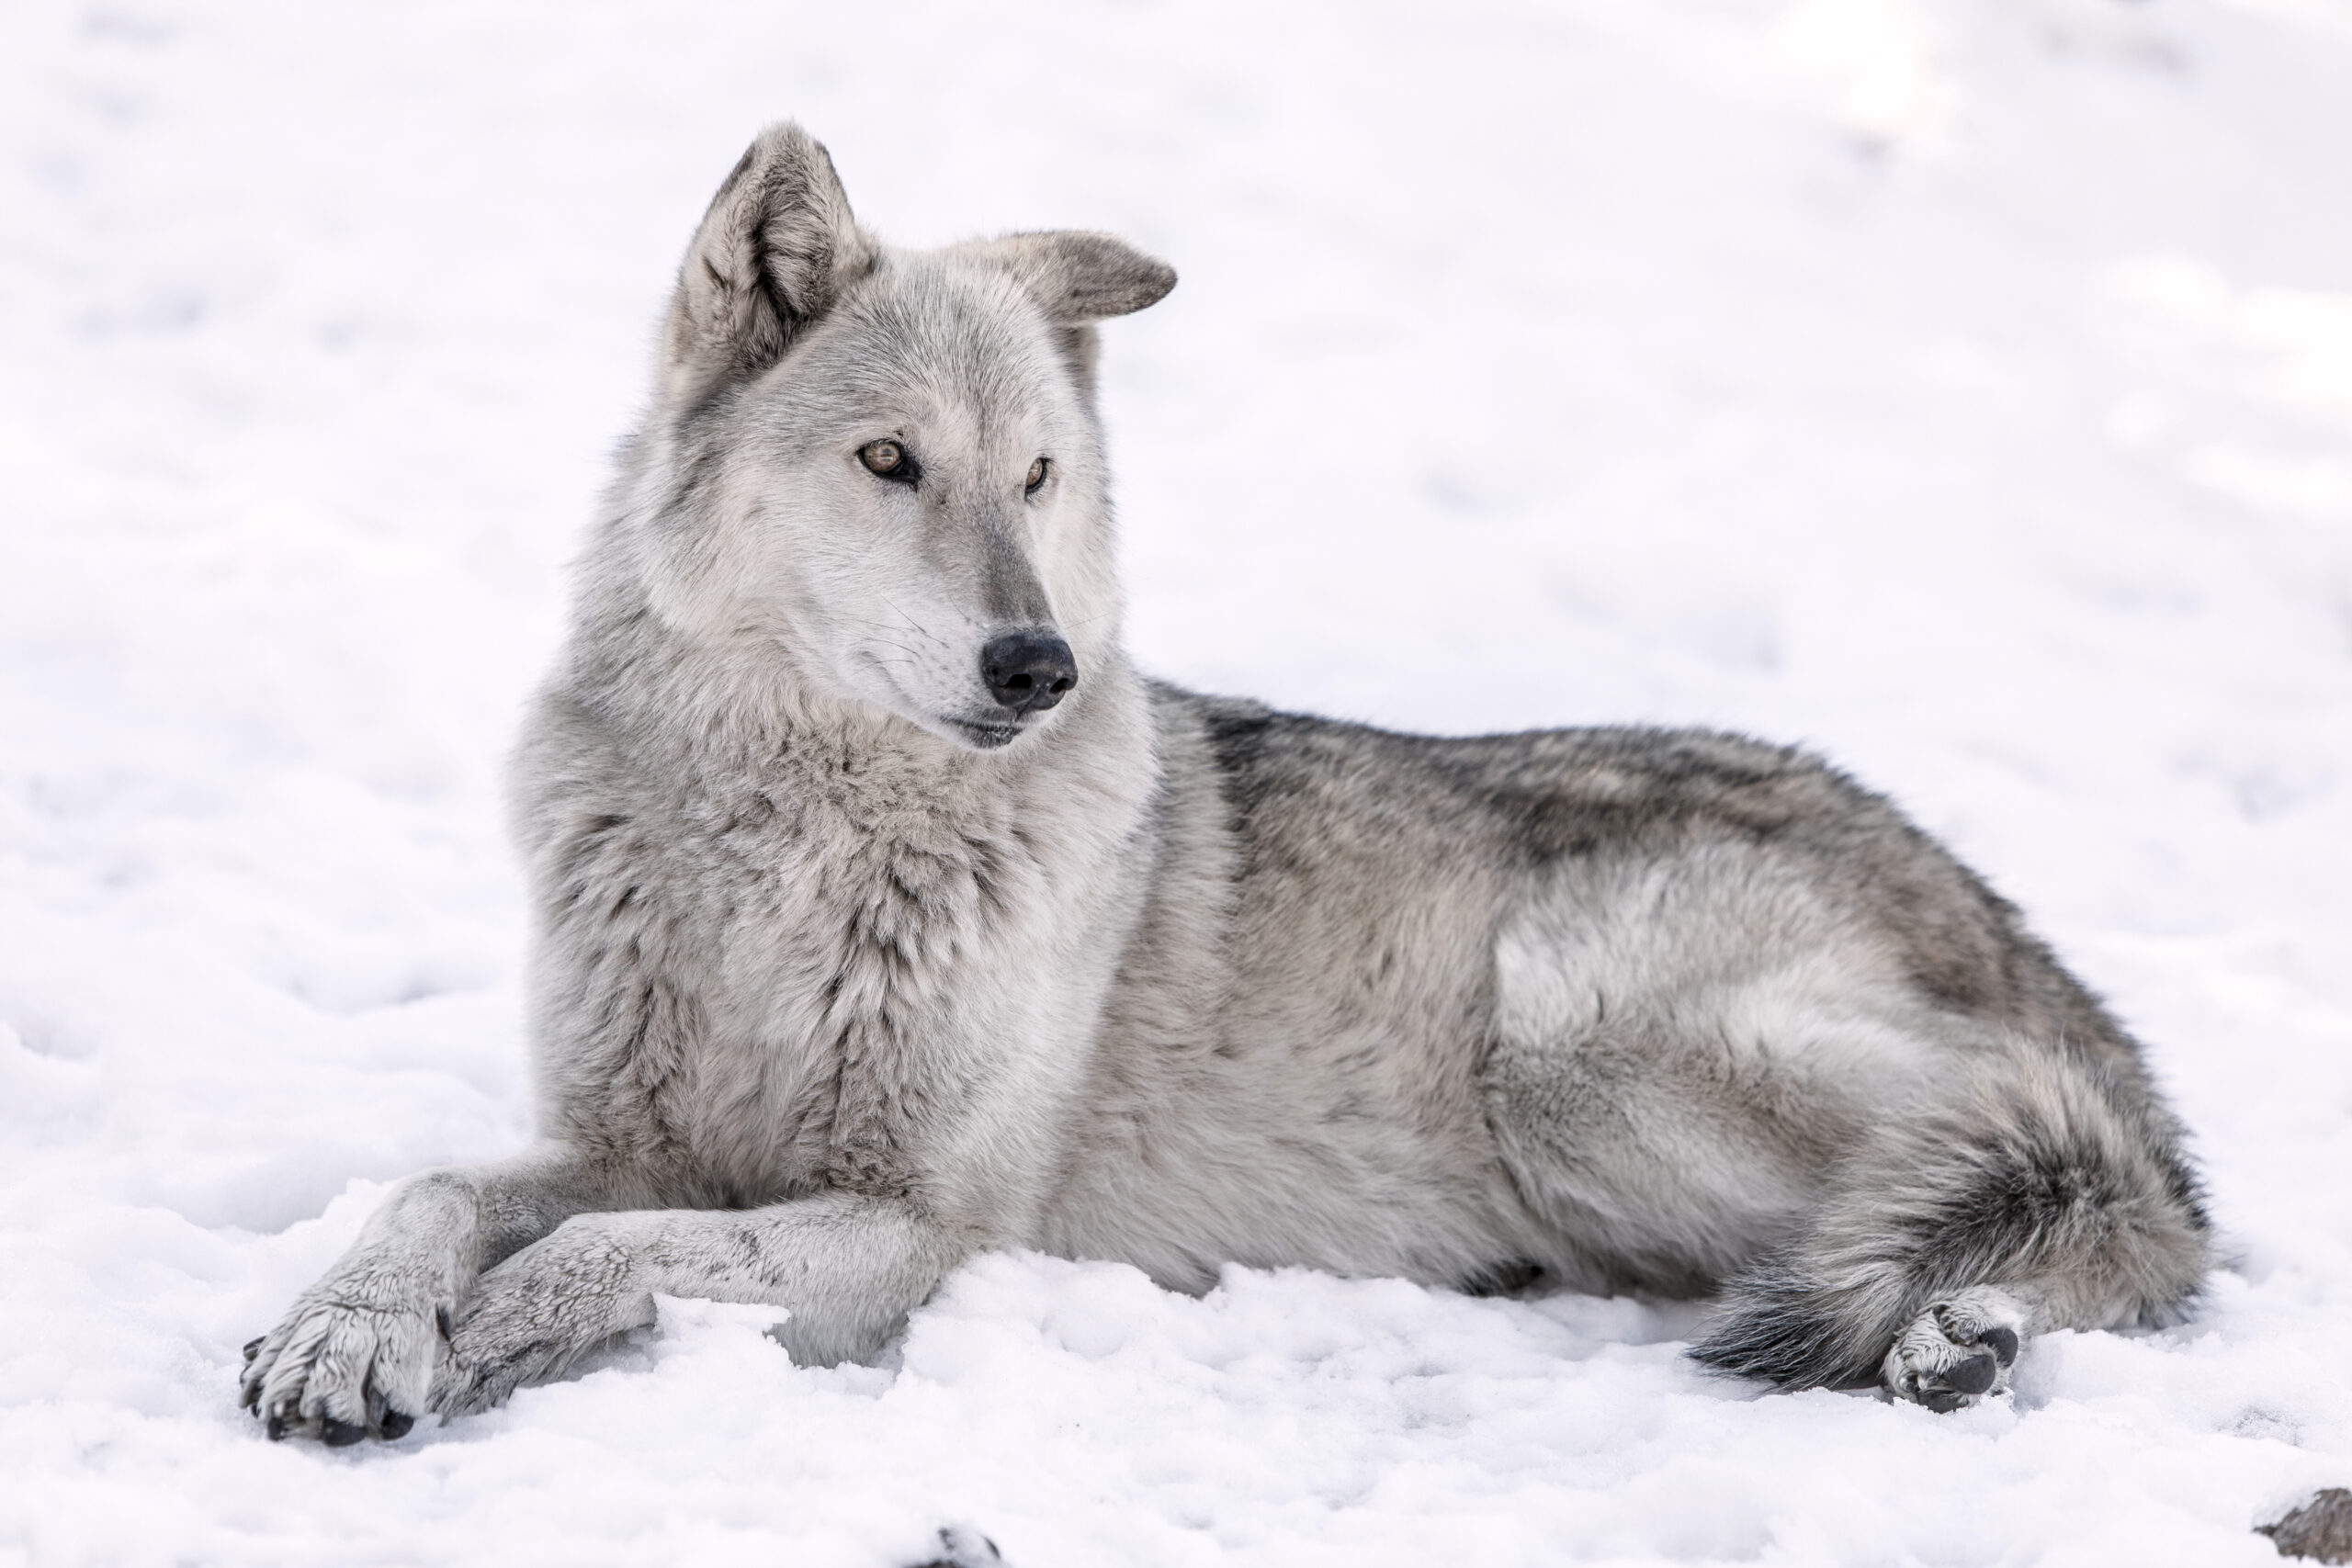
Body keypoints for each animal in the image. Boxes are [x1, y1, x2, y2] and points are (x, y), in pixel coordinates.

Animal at [241, 123, 2210, 1445]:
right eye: (891, 462)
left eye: (1037, 476)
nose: (1036, 666)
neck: (793, 842)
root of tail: (2002, 916)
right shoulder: (629, 1137)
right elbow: (434, 1188)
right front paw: (349, 1328)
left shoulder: (915, 1225)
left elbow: (600, 1249)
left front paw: (470, 1340)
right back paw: (1941, 1335)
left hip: (1576, 1062)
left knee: (2098, 1202)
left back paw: (1956, 1327)